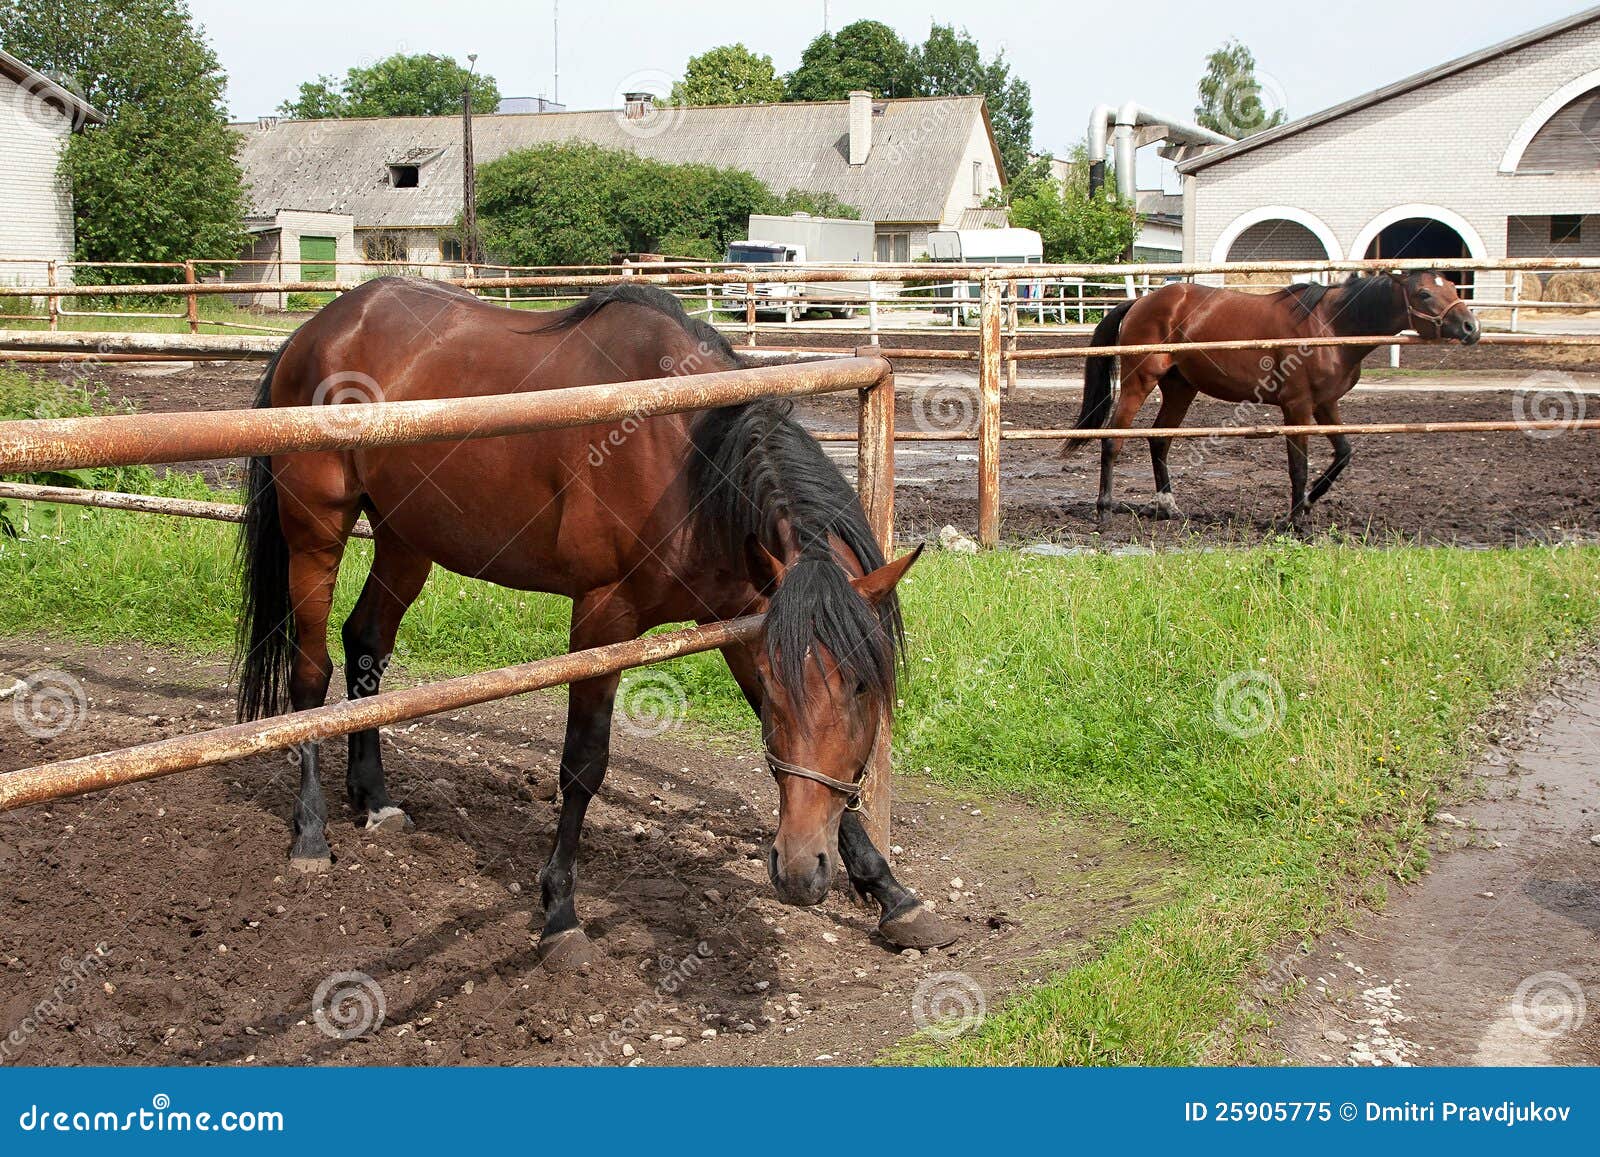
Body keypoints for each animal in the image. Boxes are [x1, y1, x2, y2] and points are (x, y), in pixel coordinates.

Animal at [232, 277, 956, 965]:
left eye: (862, 686)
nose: (801, 872)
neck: (685, 461)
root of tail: (316, 330)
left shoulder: (747, 621)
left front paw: (891, 893)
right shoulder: (604, 618)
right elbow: (583, 764)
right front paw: (560, 915)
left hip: (406, 540)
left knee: (366, 646)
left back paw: (375, 799)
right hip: (317, 534)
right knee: (310, 674)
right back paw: (310, 832)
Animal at [1065, 271, 1481, 530]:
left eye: (1452, 286)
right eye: (1424, 293)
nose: (1471, 327)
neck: (1330, 326)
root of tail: (1140, 302)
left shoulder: (1325, 404)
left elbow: (1343, 454)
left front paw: (1309, 503)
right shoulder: (1296, 406)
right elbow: (1298, 465)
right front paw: (1295, 520)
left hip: (1181, 389)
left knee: (1159, 439)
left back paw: (1169, 507)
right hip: (1139, 382)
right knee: (1113, 441)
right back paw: (1105, 511)